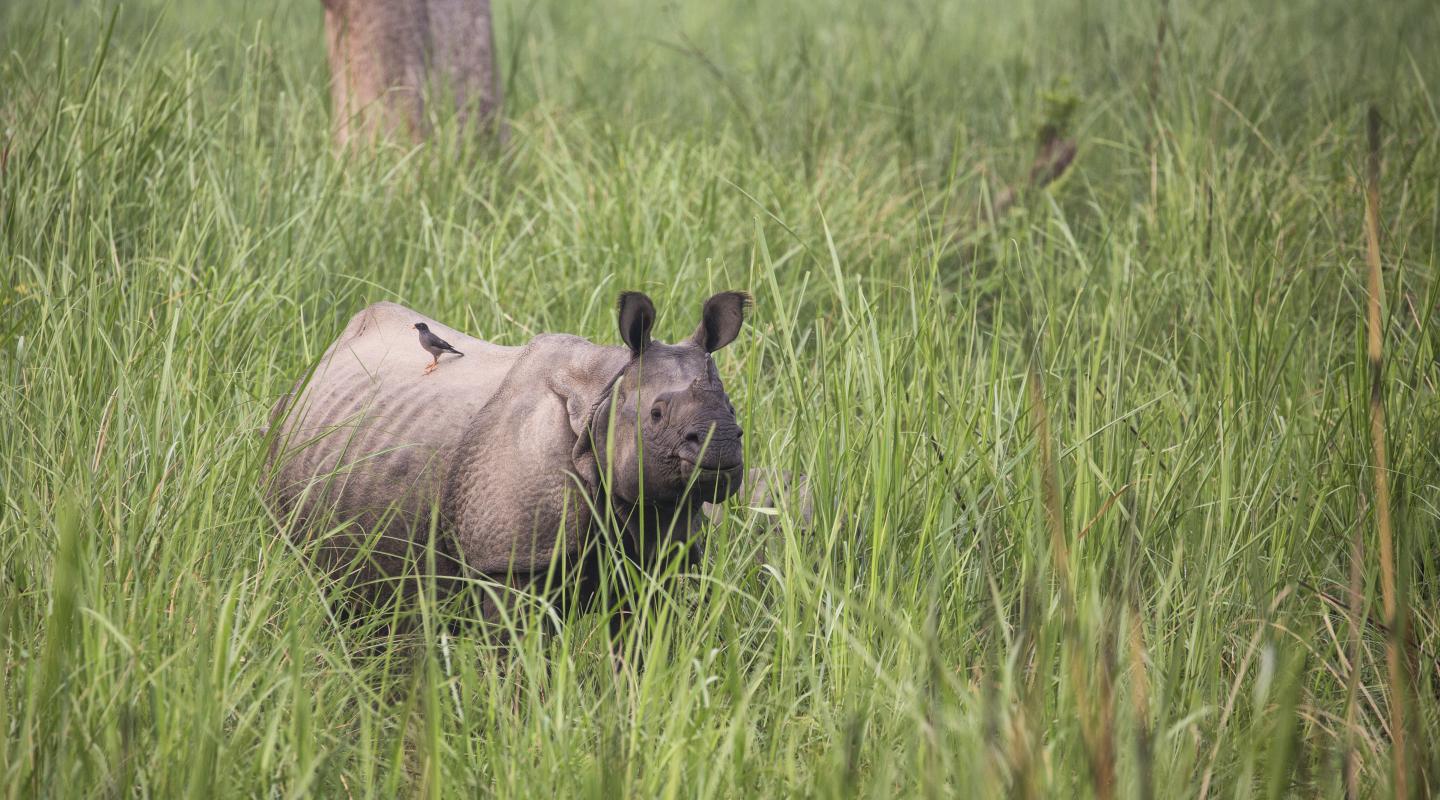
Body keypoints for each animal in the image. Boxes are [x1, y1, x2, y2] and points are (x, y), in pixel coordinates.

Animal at [264, 292, 750, 626]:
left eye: (733, 409)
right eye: (656, 414)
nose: (723, 440)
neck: (603, 393)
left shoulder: (657, 543)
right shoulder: (511, 559)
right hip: (284, 427)